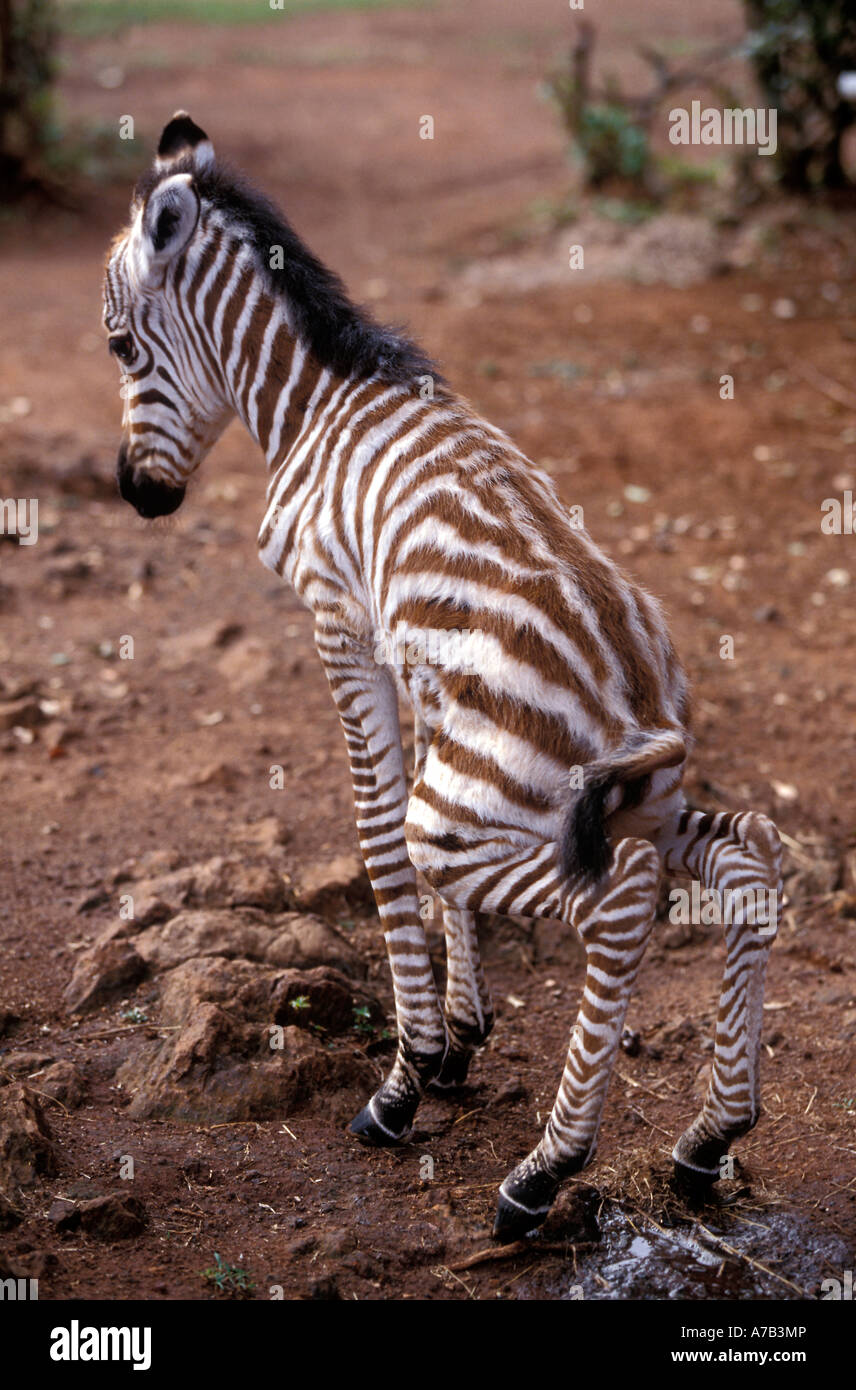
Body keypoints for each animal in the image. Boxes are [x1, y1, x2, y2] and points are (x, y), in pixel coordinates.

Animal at [102, 112, 783, 1242]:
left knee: (618, 904)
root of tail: (634, 693)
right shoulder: (418, 660)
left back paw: (544, 1170)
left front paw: (406, 1076)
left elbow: (381, 839)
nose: (137, 497)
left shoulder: (340, 622)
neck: (318, 400)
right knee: (747, 863)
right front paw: (461, 1035)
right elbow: (426, 875)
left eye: (118, 344)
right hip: (603, 800)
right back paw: (707, 1137)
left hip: (502, 818)